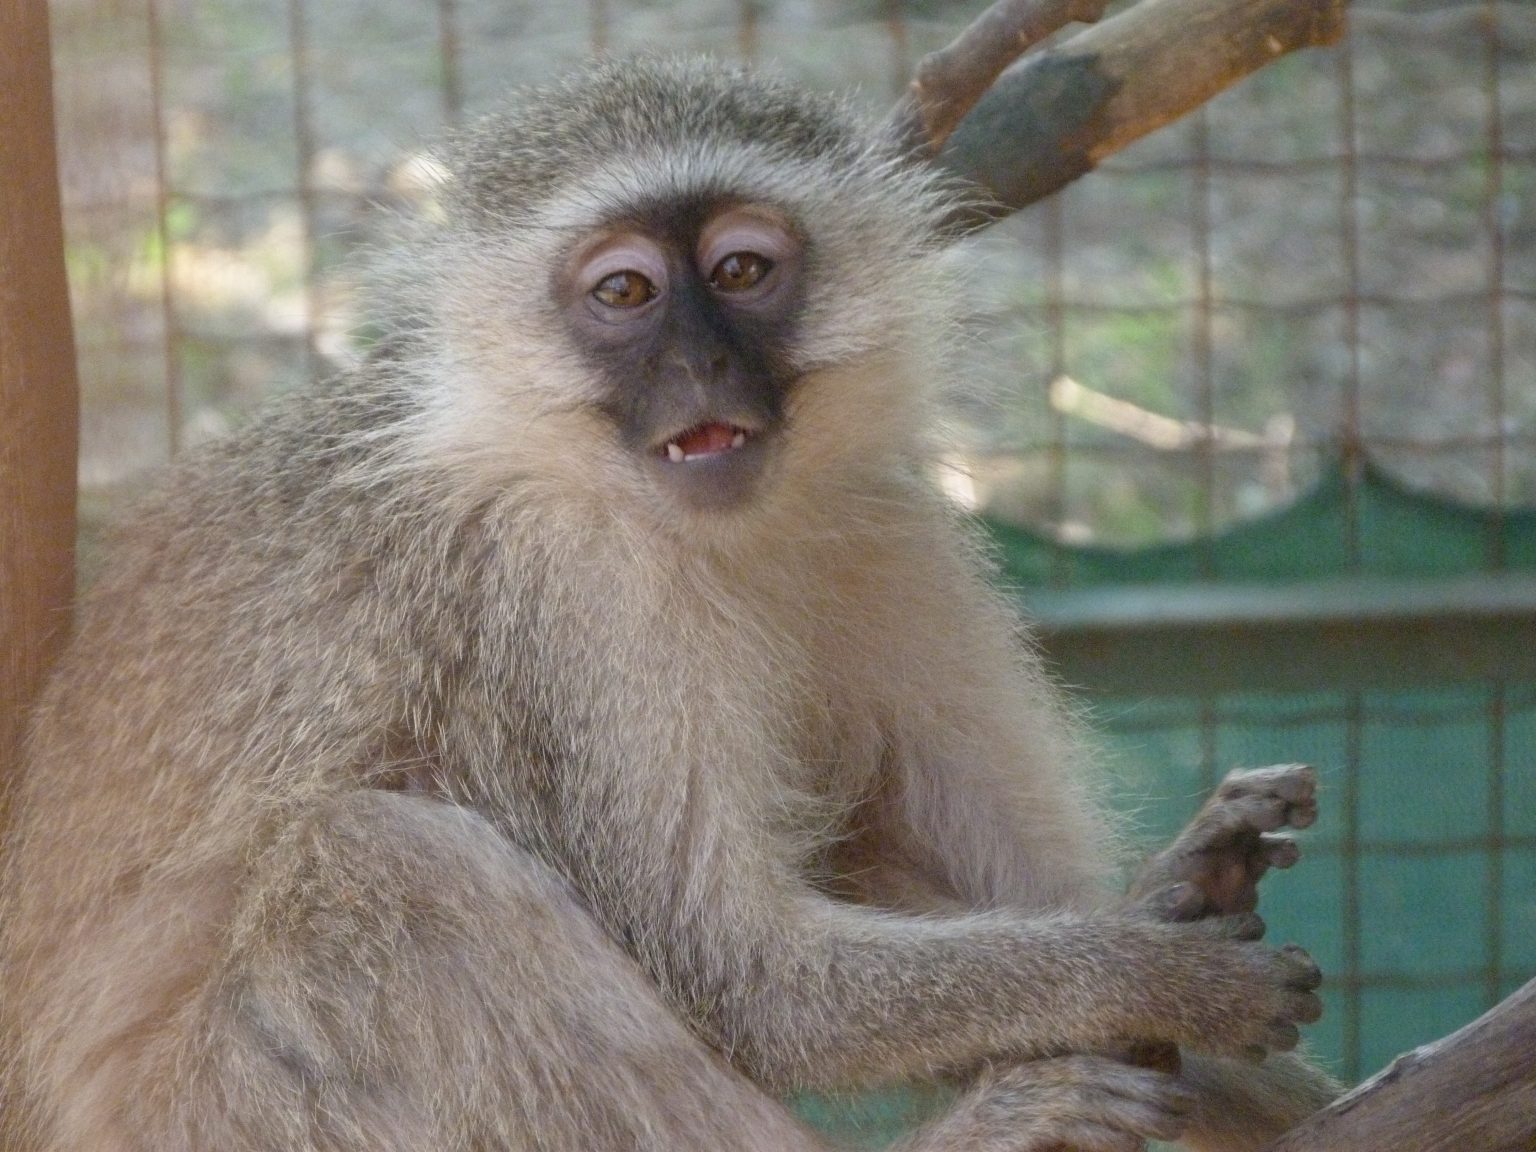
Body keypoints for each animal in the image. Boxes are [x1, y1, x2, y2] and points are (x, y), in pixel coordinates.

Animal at [0, 56, 1338, 1152]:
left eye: (743, 271)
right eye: (626, 295)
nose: (702, 367)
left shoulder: (887, 528)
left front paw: (1195, 914)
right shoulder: (576, 600)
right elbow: (747, 980)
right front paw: (1156, 974)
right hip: (217, 1116)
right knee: (389, 863)